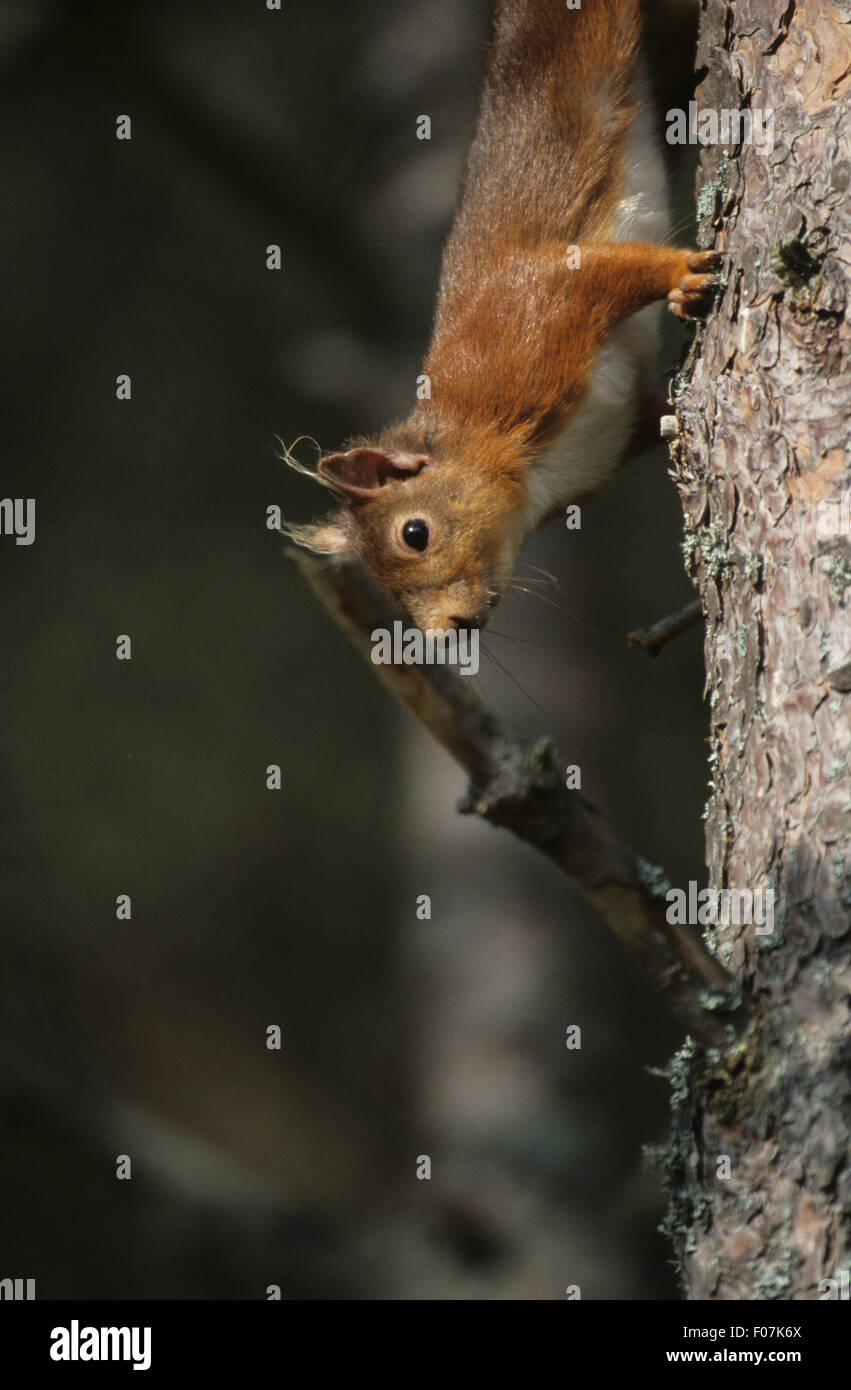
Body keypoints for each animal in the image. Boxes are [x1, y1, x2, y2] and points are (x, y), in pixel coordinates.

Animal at [288, 0, 721, 633]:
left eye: (414, 533)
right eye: (383, 587)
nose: (448, 632)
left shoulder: (532, 312)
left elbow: (611, 272)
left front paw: (682, 274)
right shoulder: (618, 430)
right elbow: (655, 413)